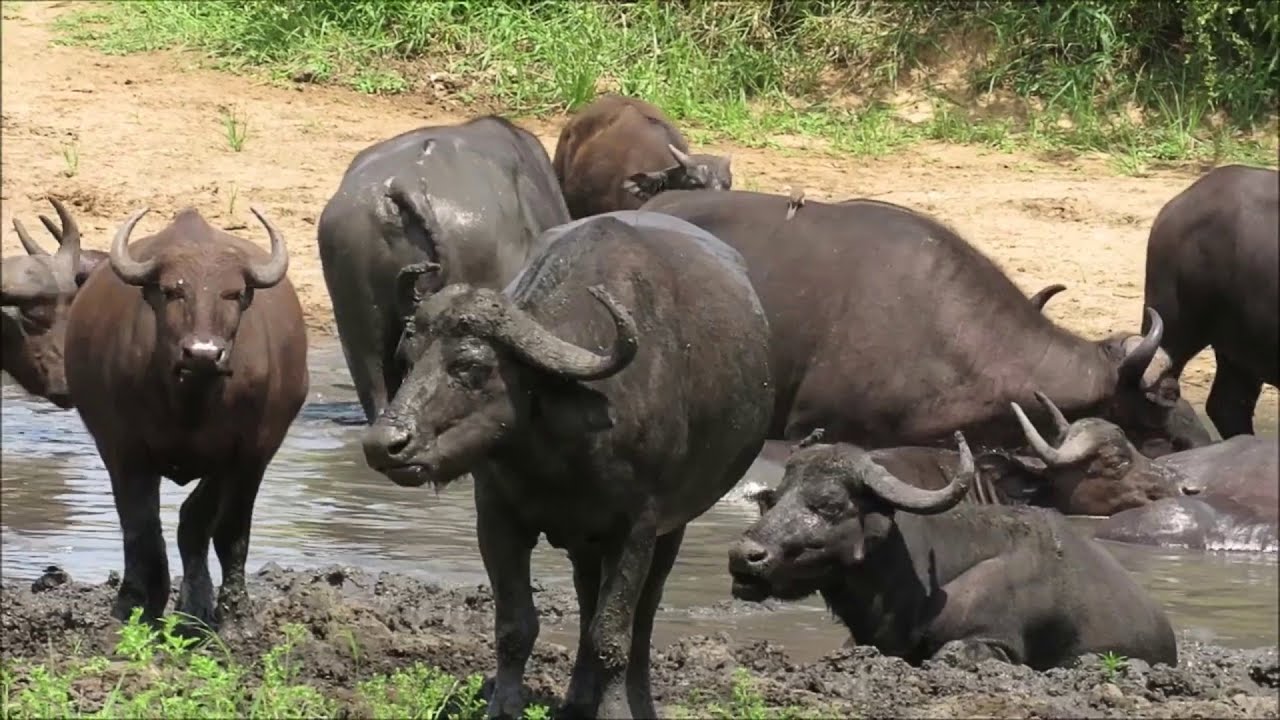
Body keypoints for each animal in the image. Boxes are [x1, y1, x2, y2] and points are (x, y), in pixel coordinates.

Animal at [64, 206, 309, 629]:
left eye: (233, 293)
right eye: (173, 291)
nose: (204, 353)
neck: (190, 400)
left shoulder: (249, 453)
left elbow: (222, 529)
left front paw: (229, 613)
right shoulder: (122, 449)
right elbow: (141, 527)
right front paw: (137, 603)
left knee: (203, 522)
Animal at [362, 211, 773, 719]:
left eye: (471, 366)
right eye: (408, 356)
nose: (384, 444)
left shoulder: (636, 528)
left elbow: (613, 632)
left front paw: (615, 710)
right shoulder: (497, 516)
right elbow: (515, 625)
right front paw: (504, 705)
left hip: (671, 528)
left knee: (642, 615)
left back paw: (638, 701)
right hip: (584, 541)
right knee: (585, 597)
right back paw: (578, 698)